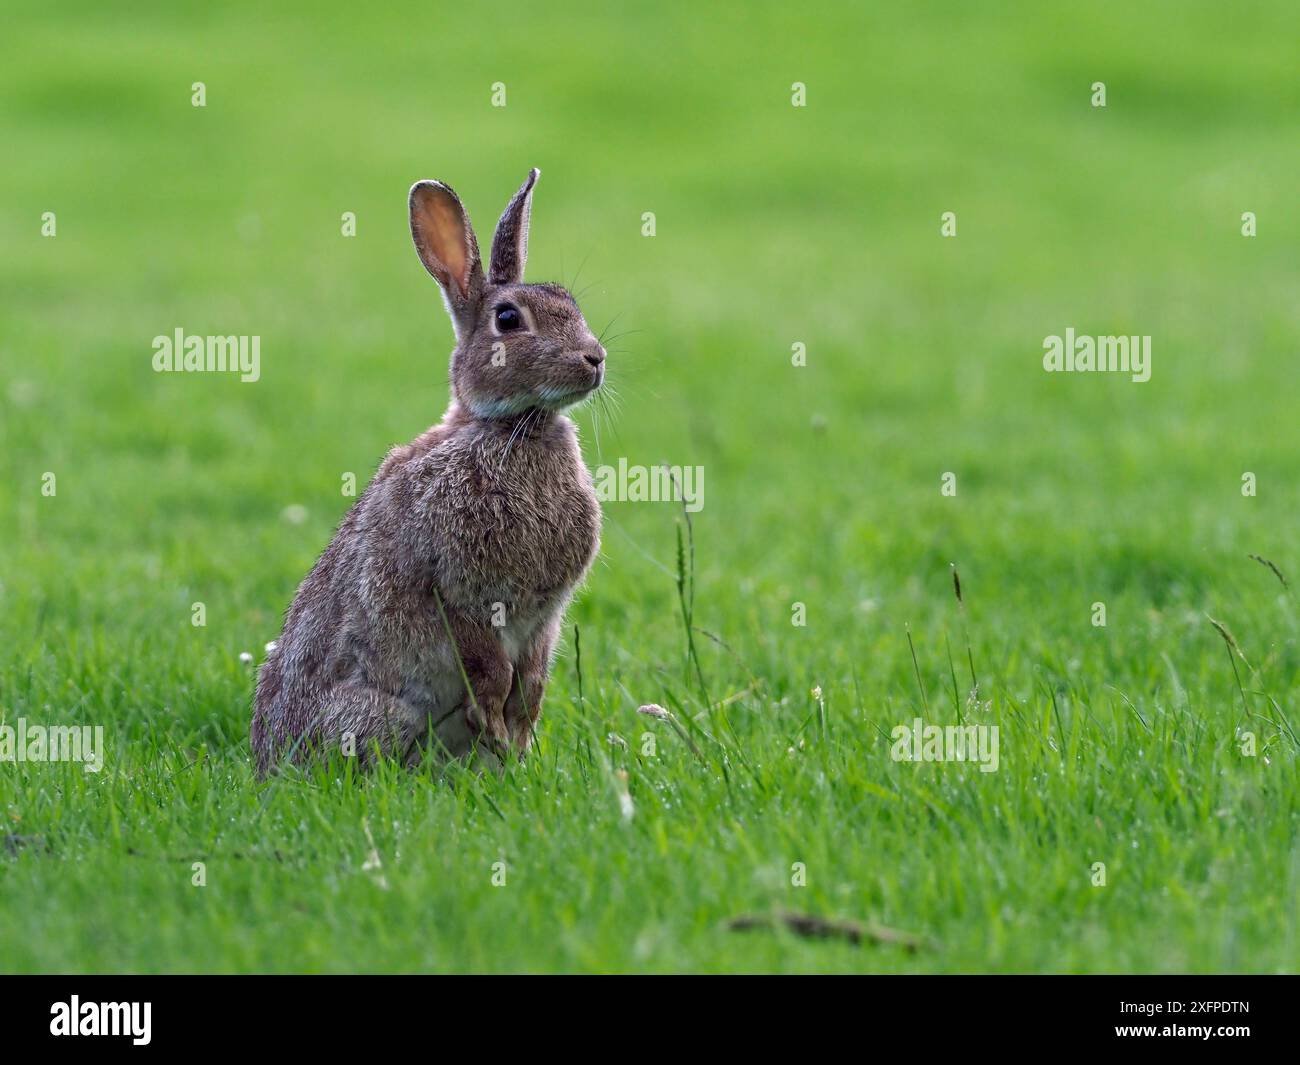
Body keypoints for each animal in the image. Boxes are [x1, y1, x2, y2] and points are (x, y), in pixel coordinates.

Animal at [251, 168, 604, 775]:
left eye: (570, 303)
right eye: (508, 319)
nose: (595, 358)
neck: (511, 427)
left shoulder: (545, 617)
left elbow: (533, 678)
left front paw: (519, 740)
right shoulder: (453, 589)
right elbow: (490, 669)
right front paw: (499, 729)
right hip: (383, 715)